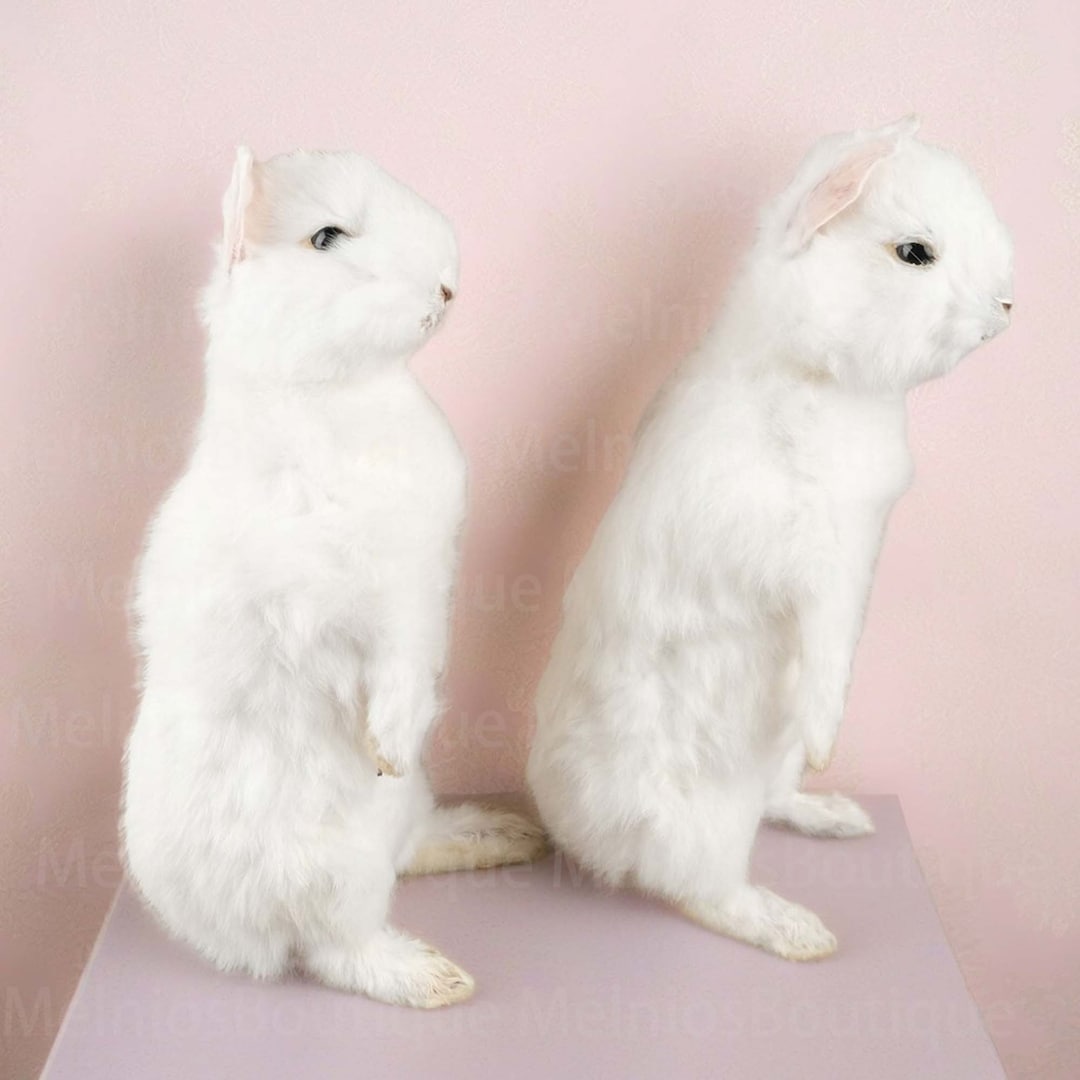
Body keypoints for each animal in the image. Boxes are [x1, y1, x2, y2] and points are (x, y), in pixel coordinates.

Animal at [121, 147, 547, 1008]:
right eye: (326, 237)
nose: (448, 284)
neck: (334, 394)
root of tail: (217, 933)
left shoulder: (419, 595)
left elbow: (416, 659)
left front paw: (395, 744)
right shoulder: (347, 605)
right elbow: (390, 670)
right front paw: (386, 744)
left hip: (398, 823)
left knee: (412, 851)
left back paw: (502, 832)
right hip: (331, 880)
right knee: (334, 952)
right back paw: (435, 978)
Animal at [526, 117, 1013, 961]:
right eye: (914, 253)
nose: (1005, 308)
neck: (813, 371)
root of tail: (568, 828)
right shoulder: (816, 566)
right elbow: (825, 653)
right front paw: (829, 736)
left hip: (768, 764)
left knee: (776, 802)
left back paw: (838, 817)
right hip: (705, 826)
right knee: (700, 891)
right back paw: (797, 930)